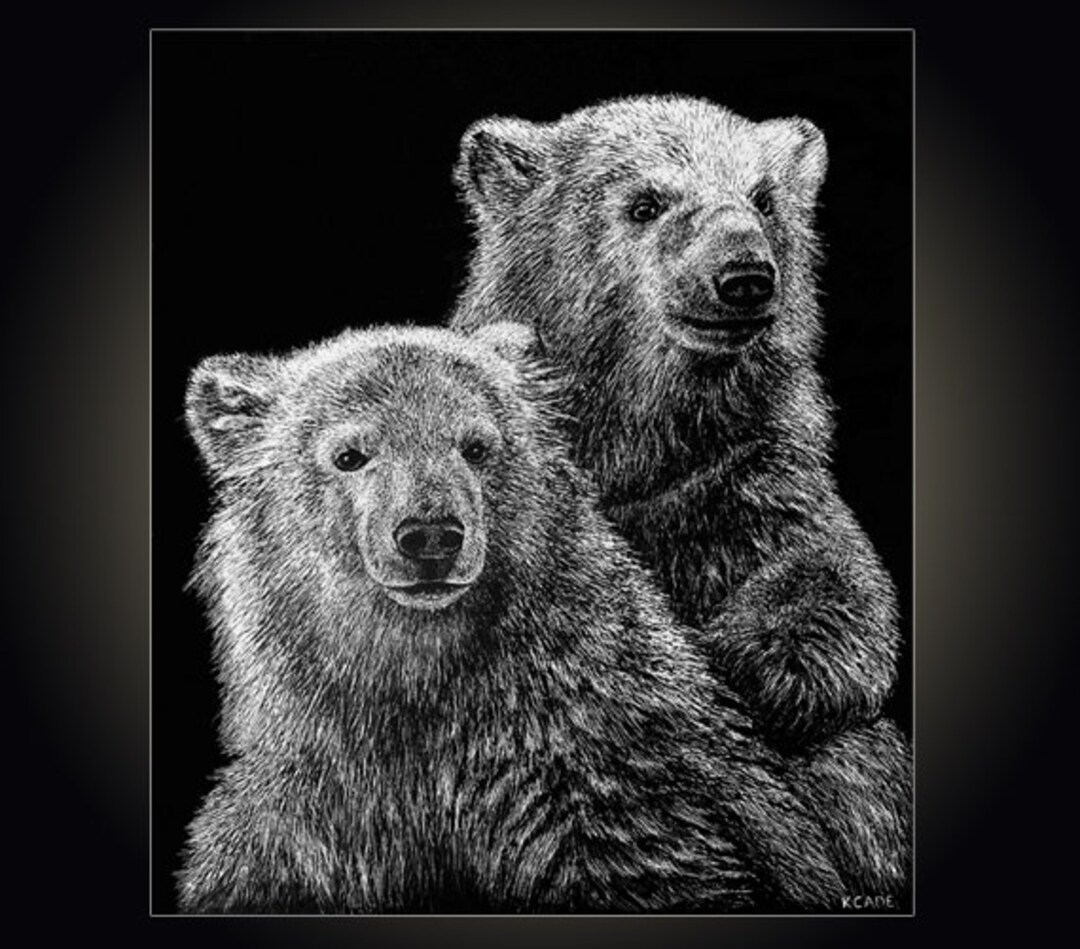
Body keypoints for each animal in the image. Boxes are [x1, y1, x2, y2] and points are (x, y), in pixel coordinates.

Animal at [449, 95, 911, 895]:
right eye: (646, 202)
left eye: (763, 198)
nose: (745, 275)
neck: (639, 446)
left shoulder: (748, 474)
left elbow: (840, 587)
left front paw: (752, 667)